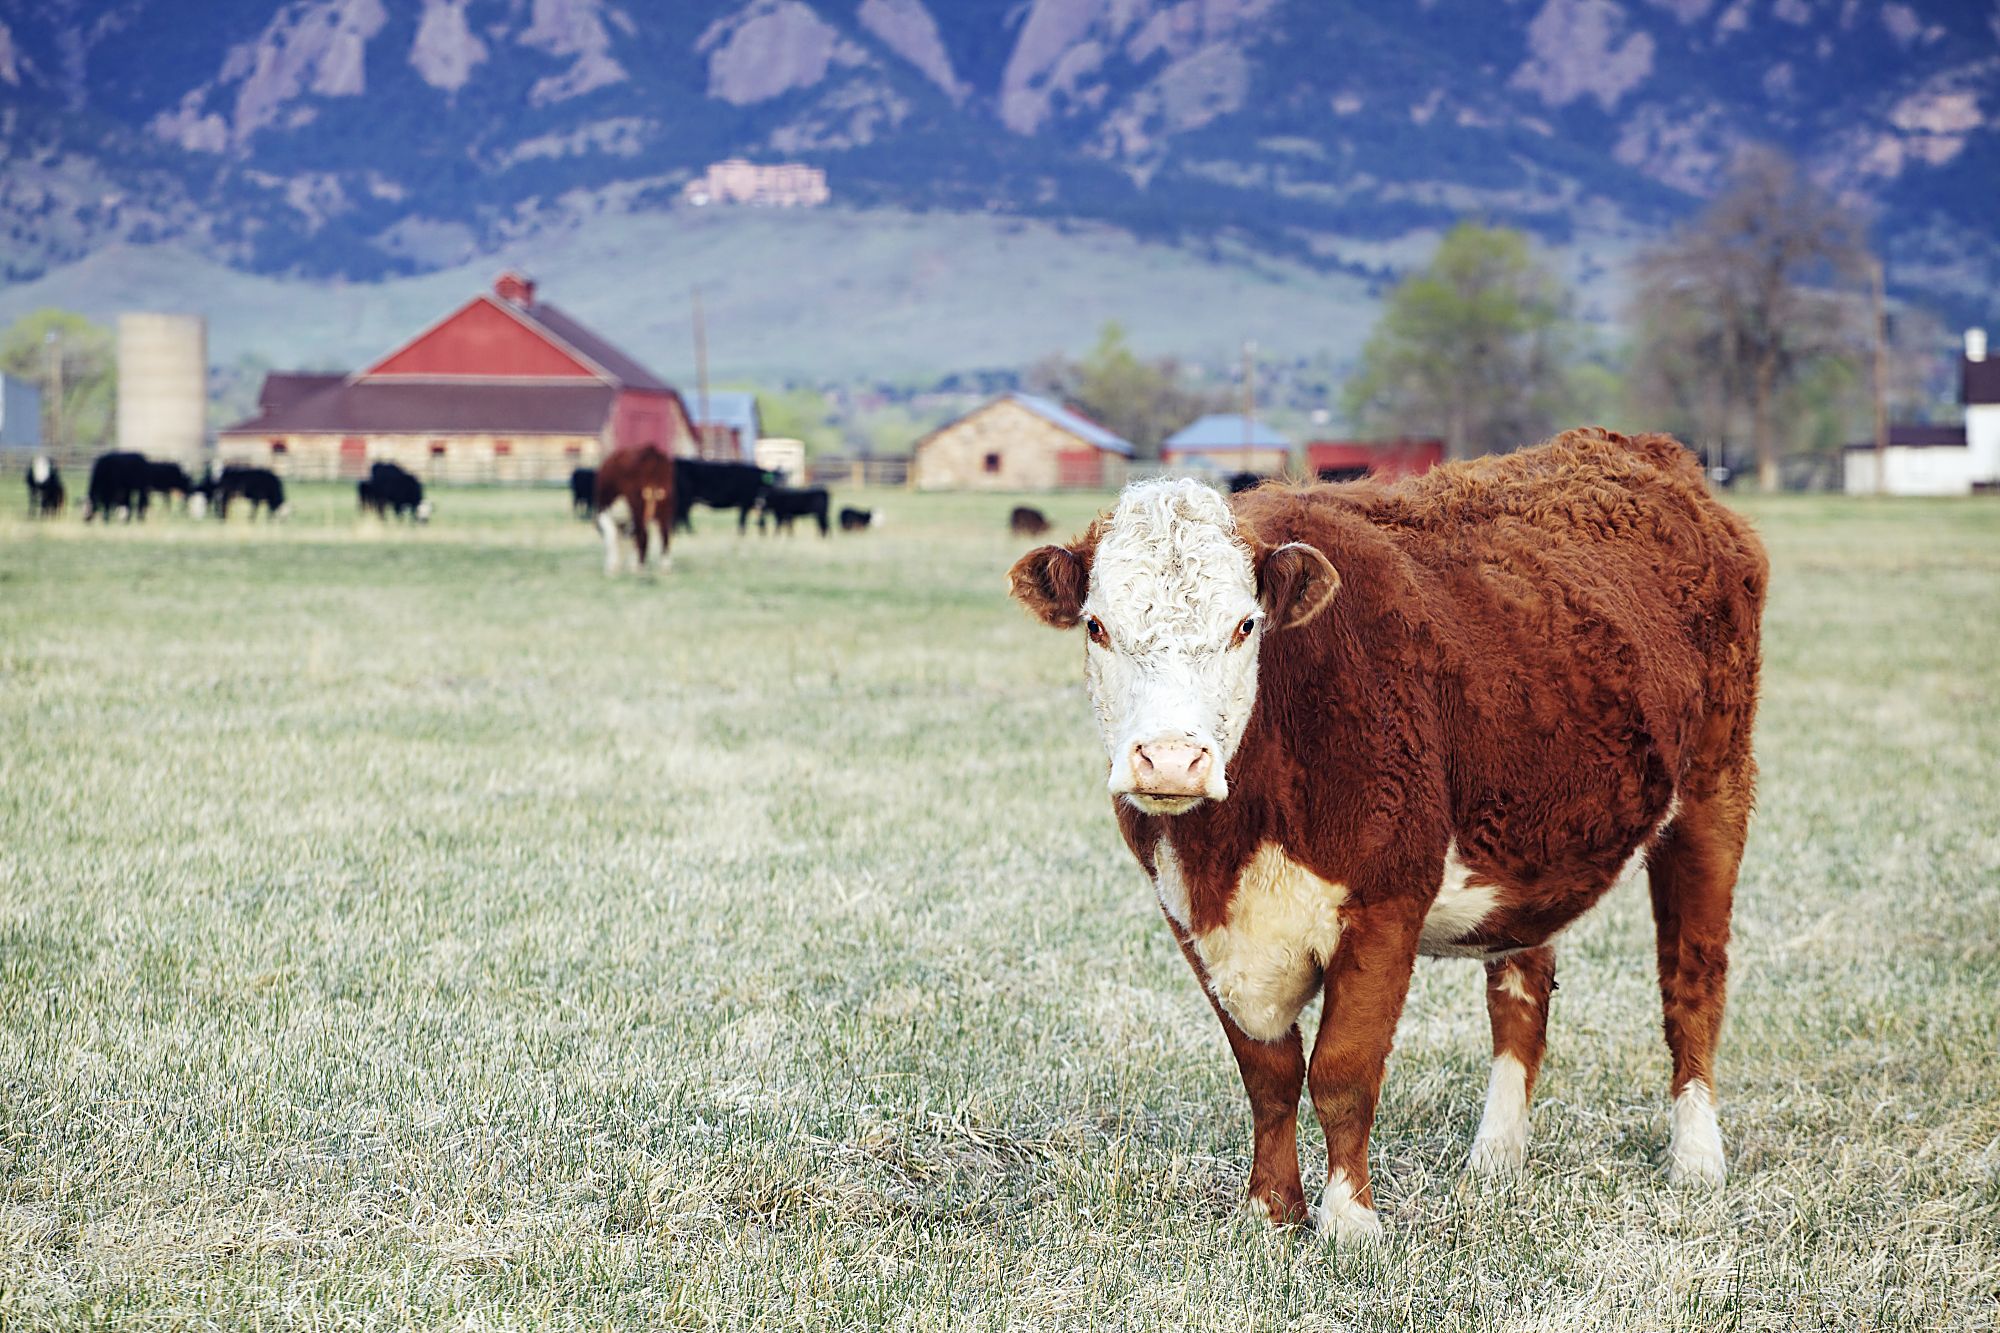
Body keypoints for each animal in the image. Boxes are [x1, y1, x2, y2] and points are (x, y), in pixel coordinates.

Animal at [593, 444, 676, 575]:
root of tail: (651, 452)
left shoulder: (604, 512)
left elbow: (611, 537)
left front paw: (612, 569)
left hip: (638, 508)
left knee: (643, 535)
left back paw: (639, 569)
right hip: (664, 507)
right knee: (664, 535)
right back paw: (664, 568)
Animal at [1007, 429, 1767, 1242]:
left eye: (1245, 626)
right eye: (1097, 626)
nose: (1173, 759)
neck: (1235, 844)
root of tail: (1647, 452)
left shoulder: (1387, 902)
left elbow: (1342, 1067)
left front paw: (1349, 1219)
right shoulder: (1193, 918)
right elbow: (1268, 1073)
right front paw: (1270, 1209)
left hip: (1715, 793)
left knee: (1692, 976)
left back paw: (1696, 1156)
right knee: (1521, 992)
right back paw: (1495, 1157)